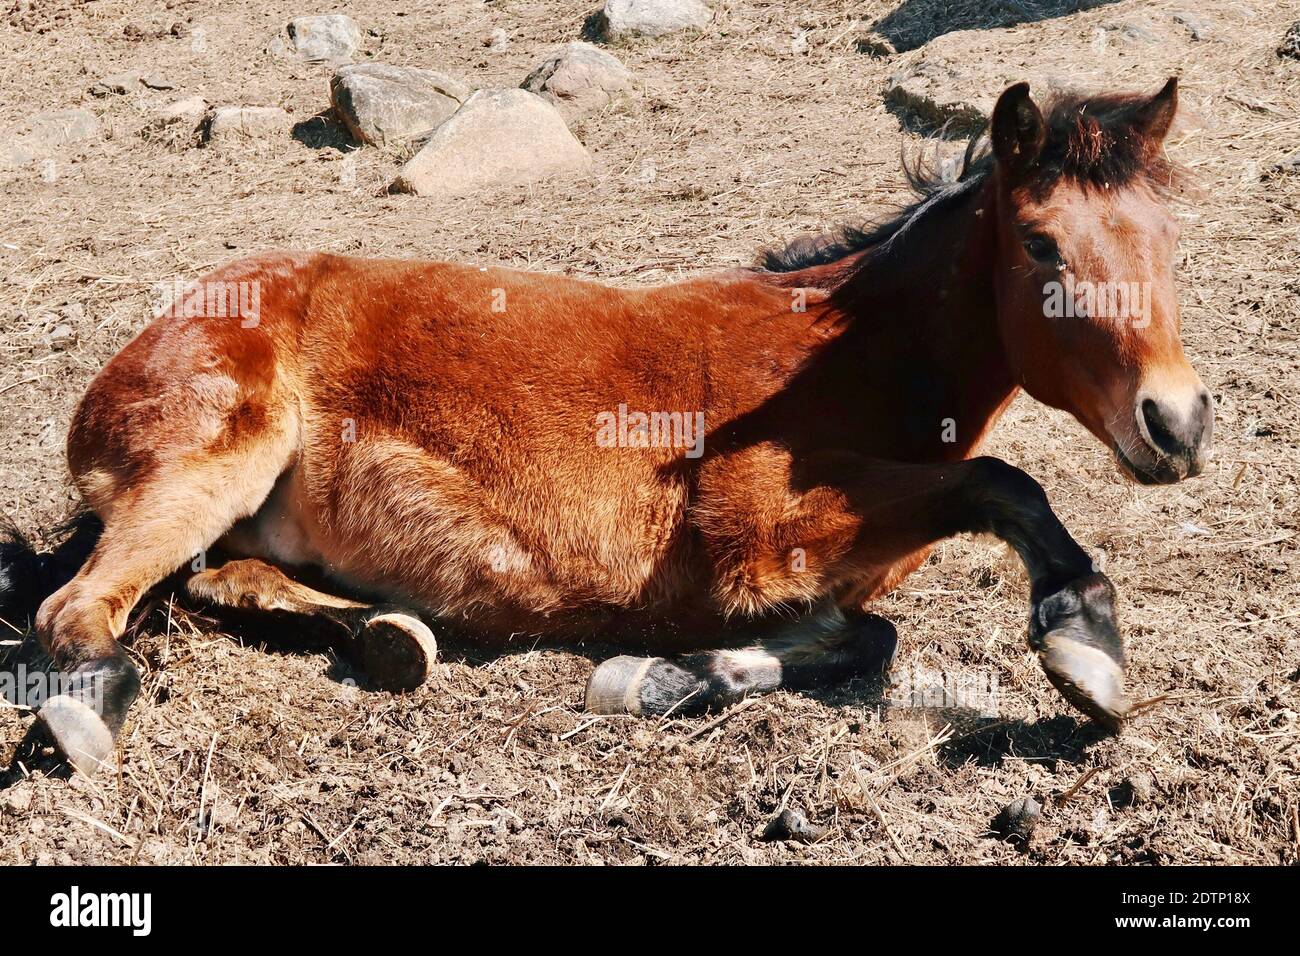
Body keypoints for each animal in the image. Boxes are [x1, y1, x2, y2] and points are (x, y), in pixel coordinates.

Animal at [0, 78, 1212, 776]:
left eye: (1169, 236)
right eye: (1043, 245)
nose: (1179, 422)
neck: (845, 351)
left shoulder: (825, 576)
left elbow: (865, 635)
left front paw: (662, 677)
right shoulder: (757, 533)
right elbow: (1003, 485)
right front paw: (1086, 644)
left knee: (221, 579)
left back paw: (389, 635)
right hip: (213, 459)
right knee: (82, 608)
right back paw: (93, 711)